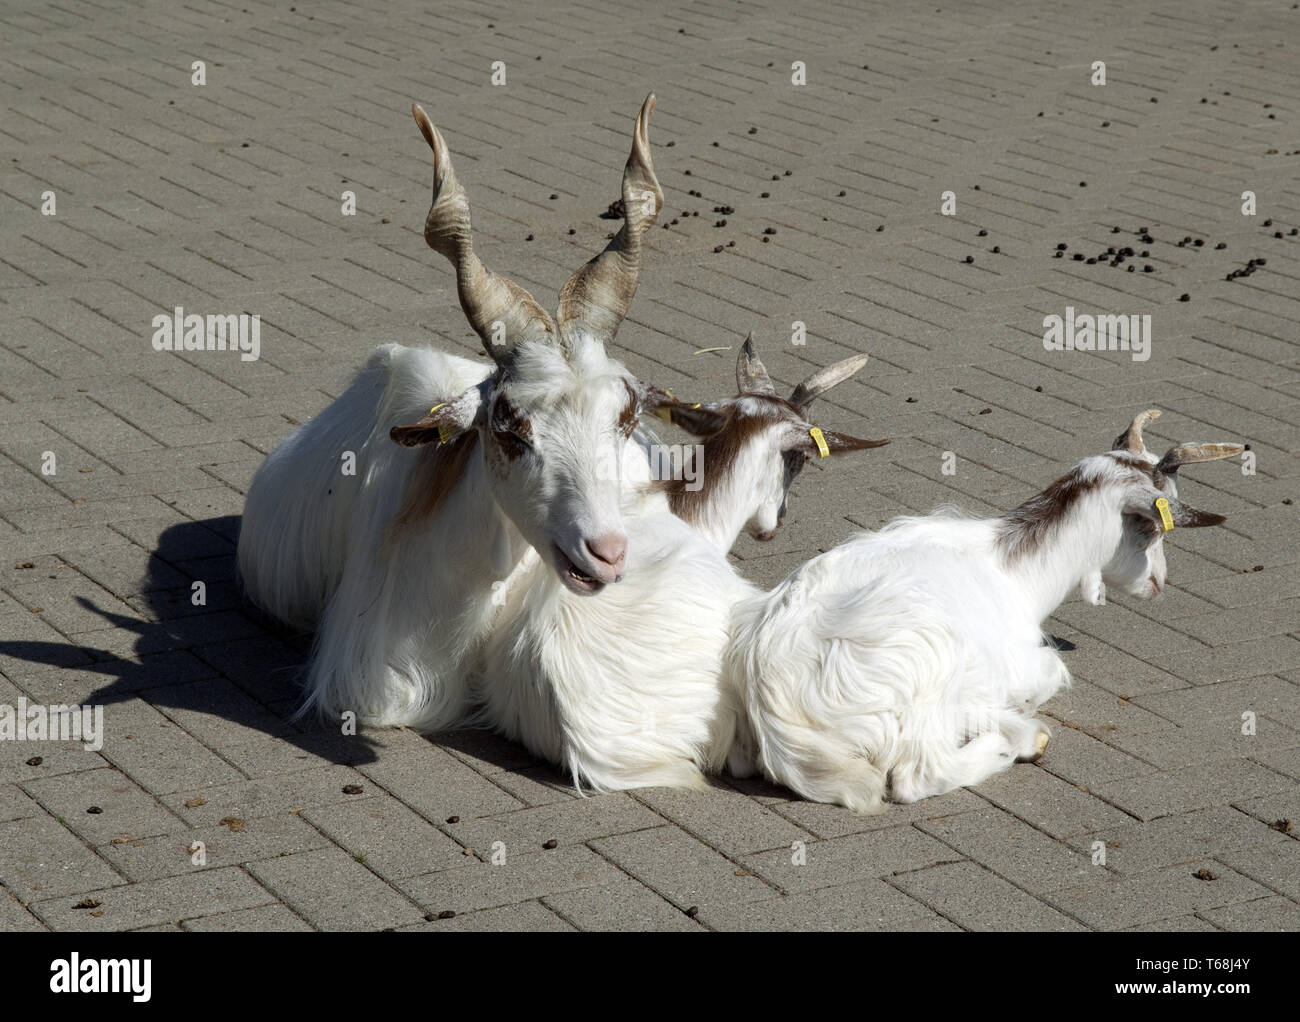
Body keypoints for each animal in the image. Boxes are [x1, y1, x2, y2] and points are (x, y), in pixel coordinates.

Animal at [726, 409, 1244, 813]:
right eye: (1154, 527)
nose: (1160, 583)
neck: (1014, 569)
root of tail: (779, 716)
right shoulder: (1021, 663)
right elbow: (1051, 672)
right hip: (929, 656)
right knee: (918, 775)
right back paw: (1007, 742)